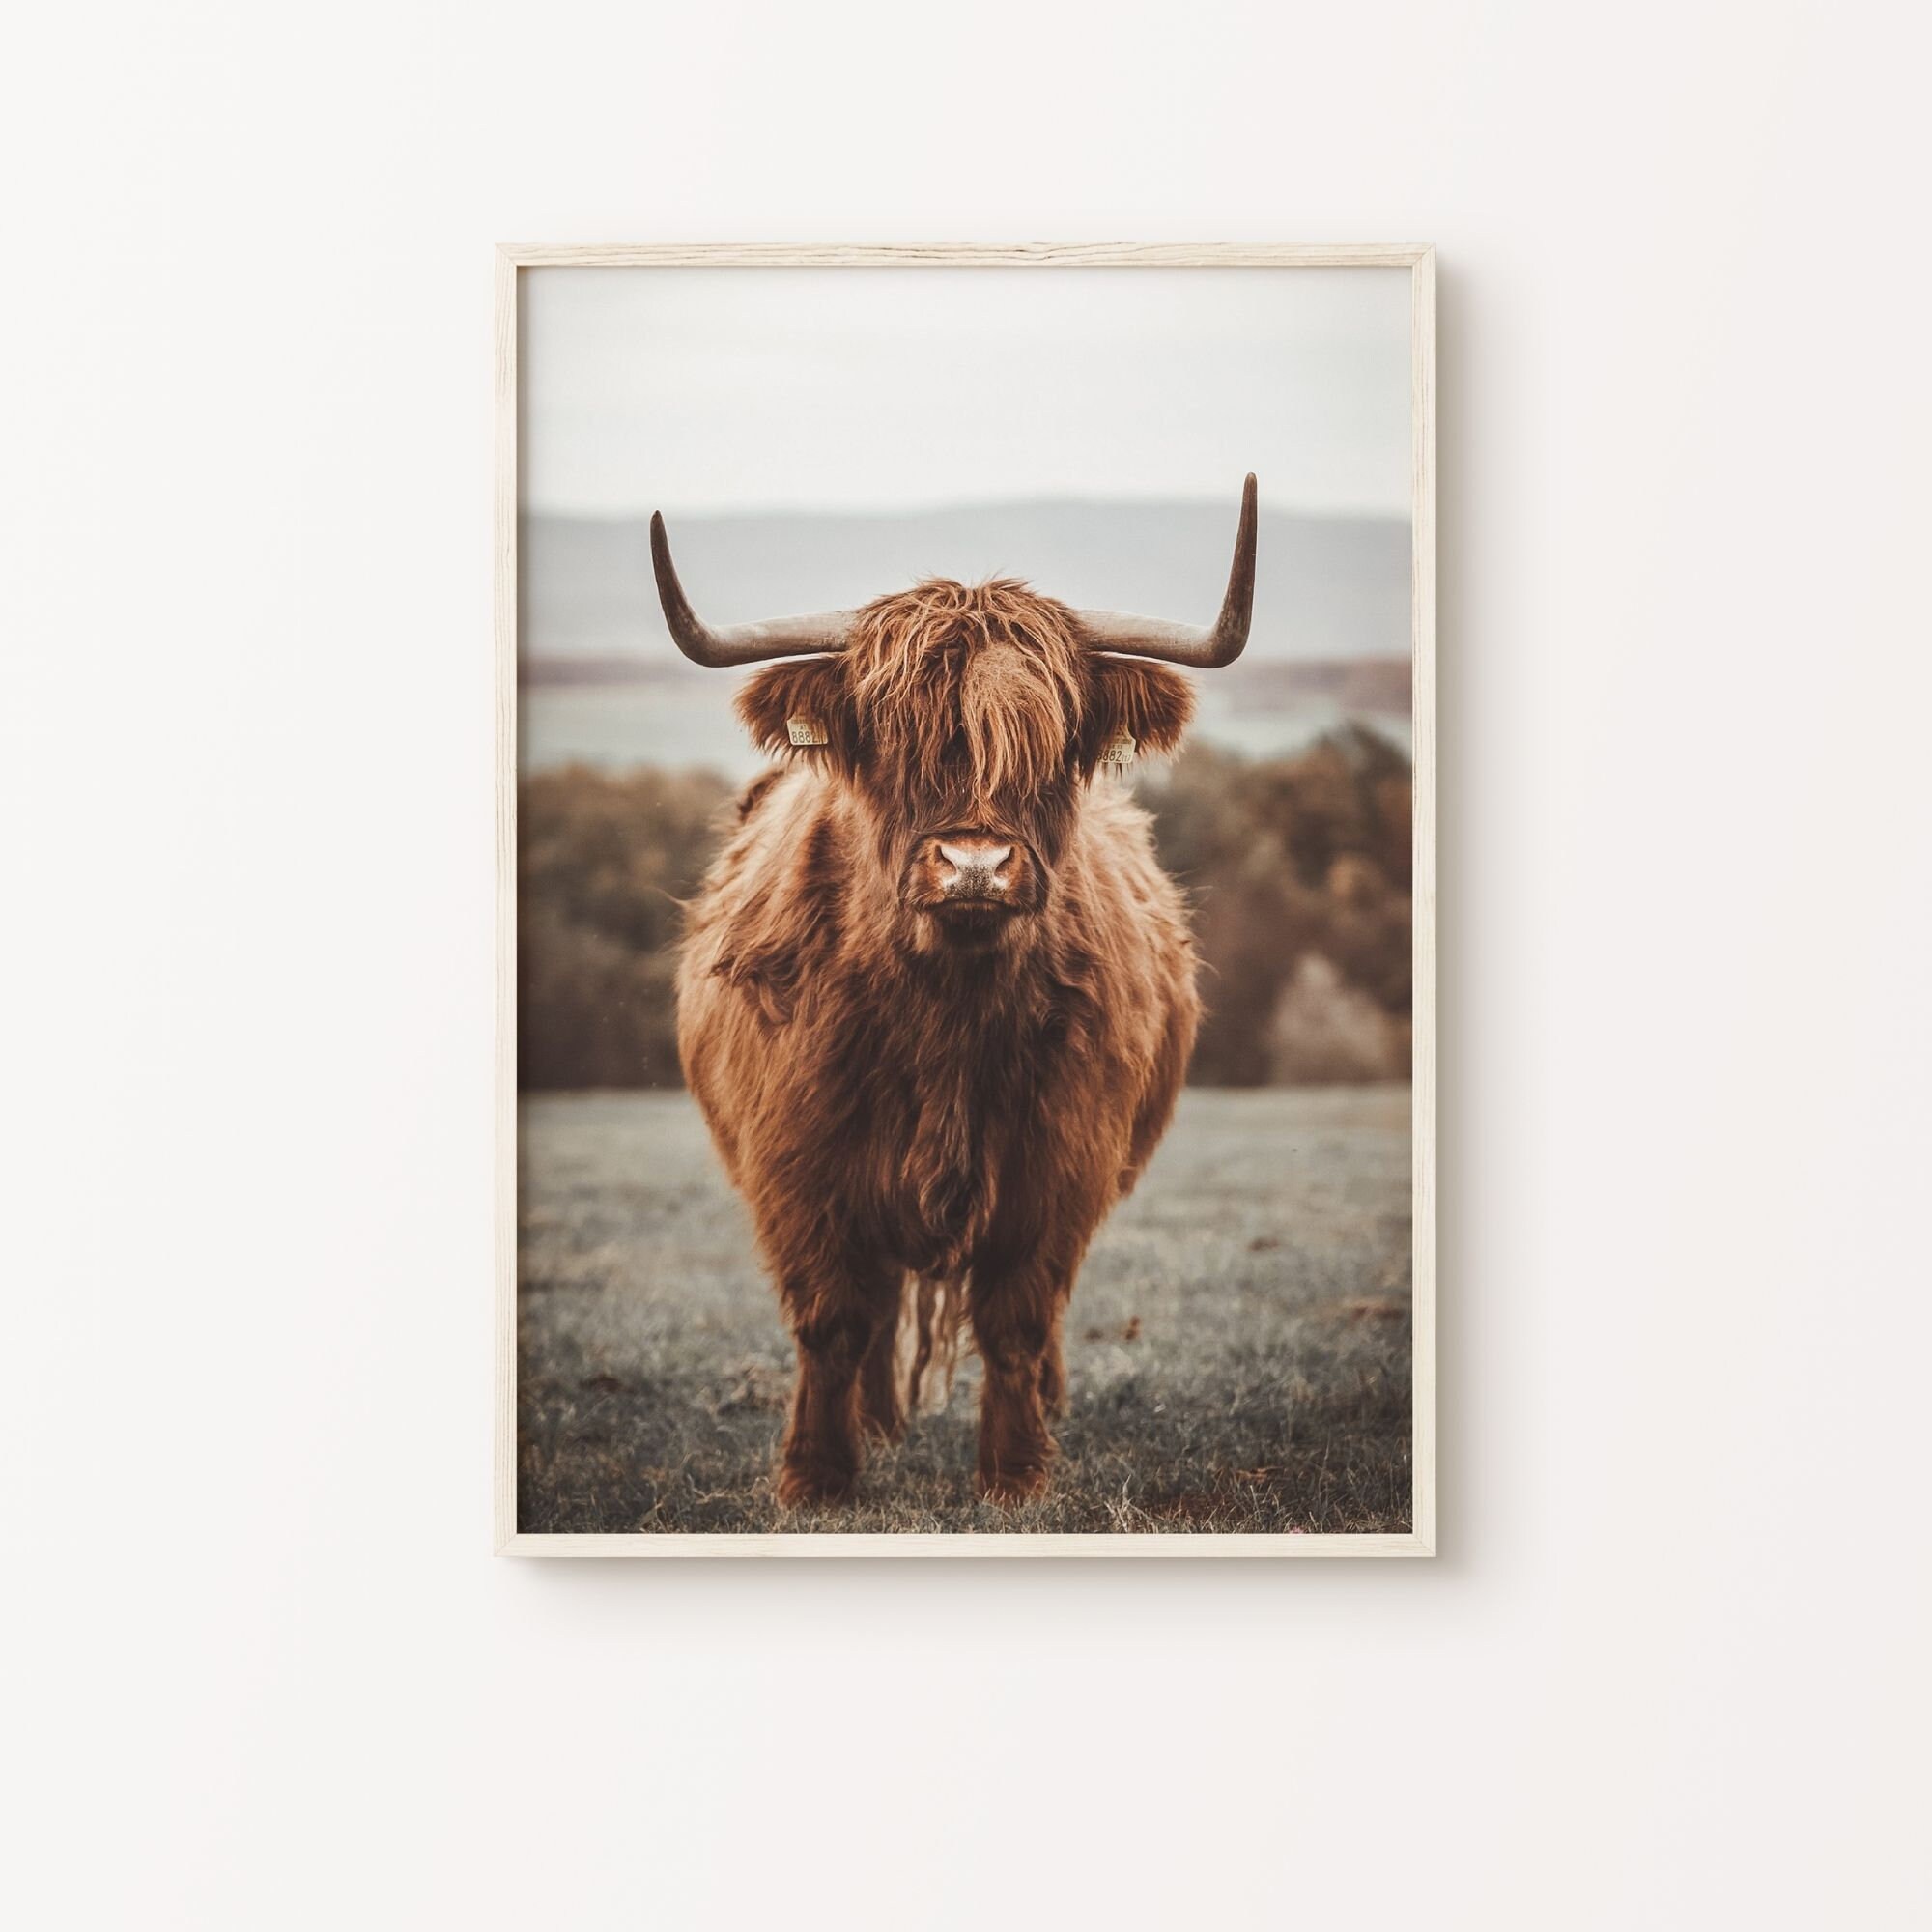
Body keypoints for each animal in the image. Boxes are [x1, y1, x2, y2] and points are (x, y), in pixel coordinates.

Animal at [656, 478, 1258, 1505]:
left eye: (1049, 745)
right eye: (888, 740)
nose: (974, 863)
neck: (944, 1012)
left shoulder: (1058, 1164)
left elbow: (1017, 1320)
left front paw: (1016, 1474)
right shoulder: (800, 1165)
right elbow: (833, 1320)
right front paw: (816, 1476)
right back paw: (877, 1426)